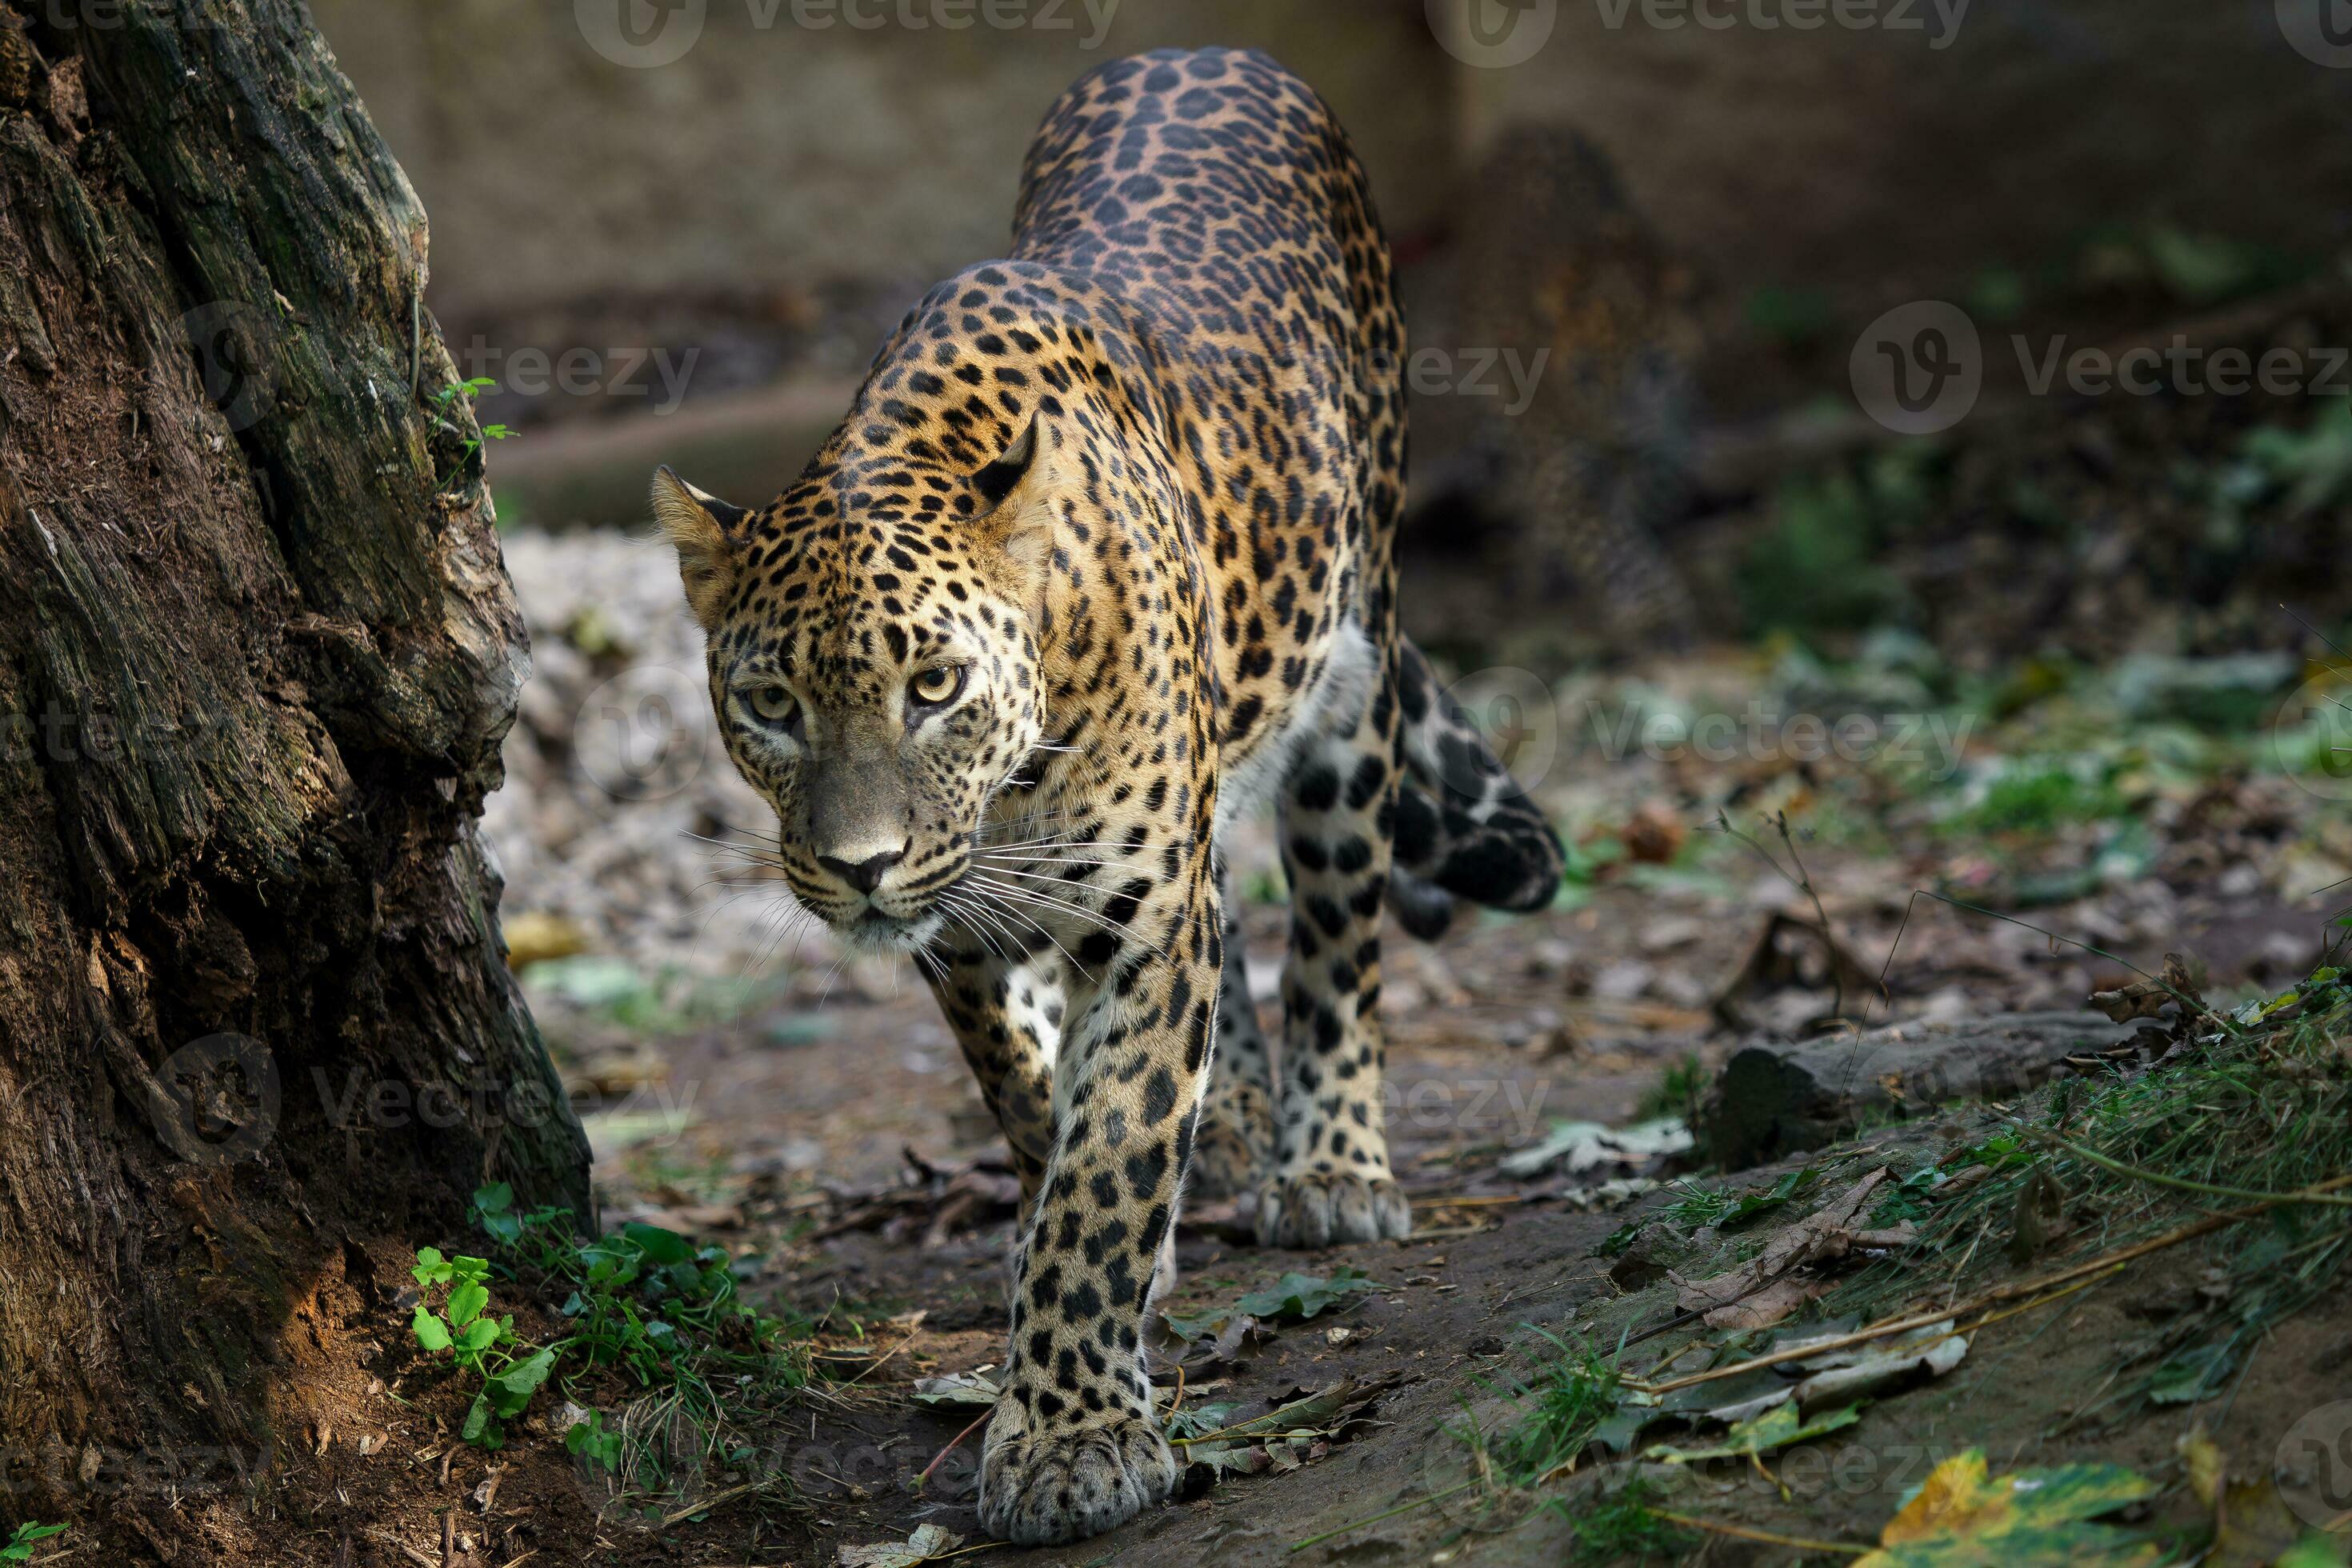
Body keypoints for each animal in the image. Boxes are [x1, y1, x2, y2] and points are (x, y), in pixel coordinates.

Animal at [651, 48, 1563, 1546]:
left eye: (936, 685)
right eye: (771, 704)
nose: (857, 867)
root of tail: (1203, 53)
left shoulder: (1141, 914)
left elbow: (1107, 1162)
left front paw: (1073, 1435)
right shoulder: (963, 933)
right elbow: (1034, 1102)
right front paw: (1082, 1259)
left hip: (1353, 681)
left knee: (1339, 938)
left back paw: (1330, 1164)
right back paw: (1238, 1125)